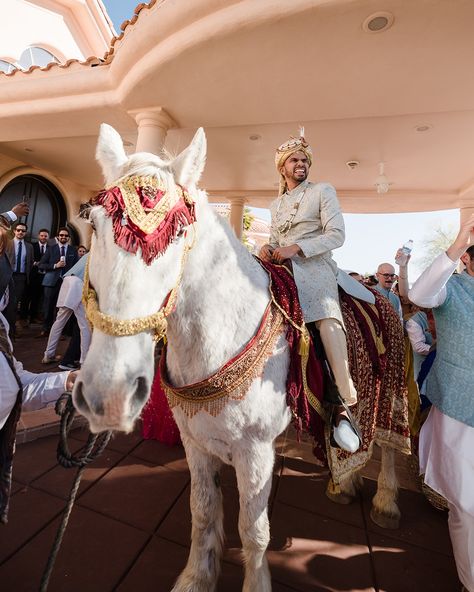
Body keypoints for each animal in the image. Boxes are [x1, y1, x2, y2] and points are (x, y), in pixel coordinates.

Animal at [76, 122, 402, 588]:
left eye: (178, 233)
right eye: (96, 224)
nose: (109, 391)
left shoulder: (257, 450)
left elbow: (253, 529)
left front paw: (255, 580)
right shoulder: (194, 440)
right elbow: (202, 510)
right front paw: (197, 576)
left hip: (392, 392)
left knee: (391, 443)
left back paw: (386, 500)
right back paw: (345, 483)